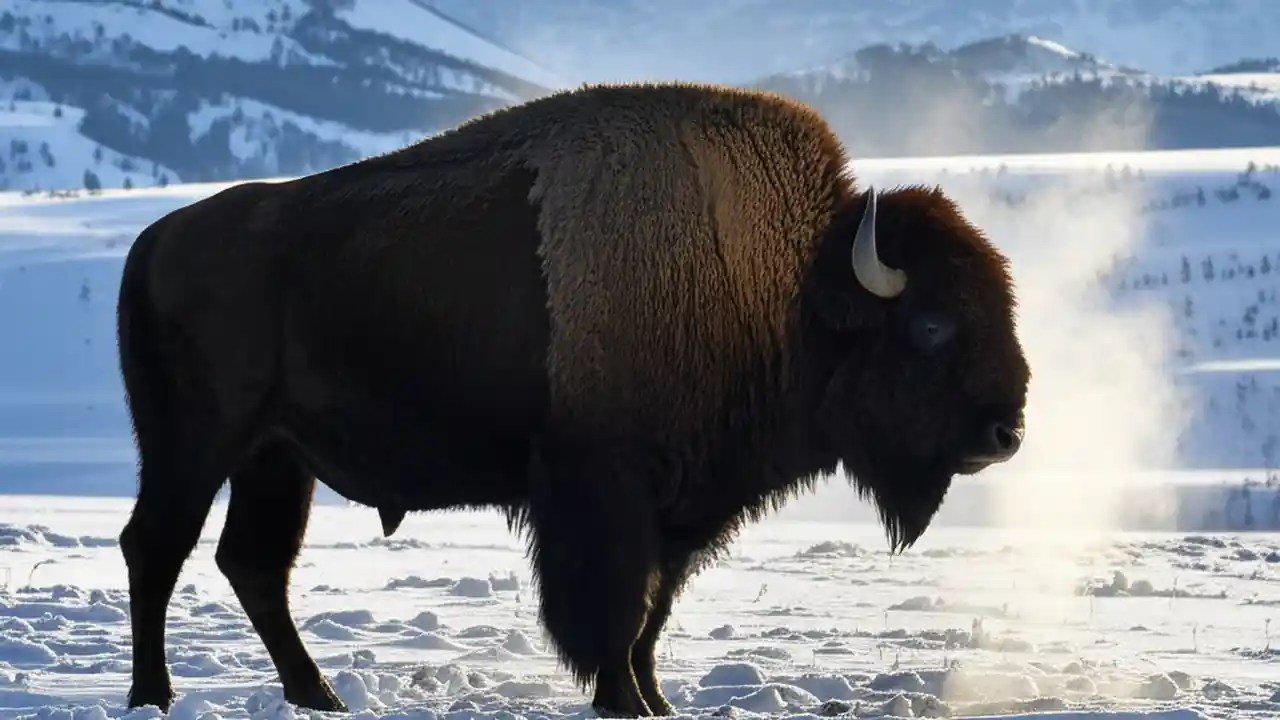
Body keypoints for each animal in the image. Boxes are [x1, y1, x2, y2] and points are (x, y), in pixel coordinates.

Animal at [116, 81, 1029, 717]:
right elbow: (614, 611)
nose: (1006, 430)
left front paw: (654, 699)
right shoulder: (600, 493)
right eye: (933, 324)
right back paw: (153, 696)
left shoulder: (680, 510)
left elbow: (654, 609)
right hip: (194, 446)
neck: (787, 287)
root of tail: (155, 241)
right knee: (156, 547)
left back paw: (320, 697)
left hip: (277, 459)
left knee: (253, 563)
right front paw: (623, 700)